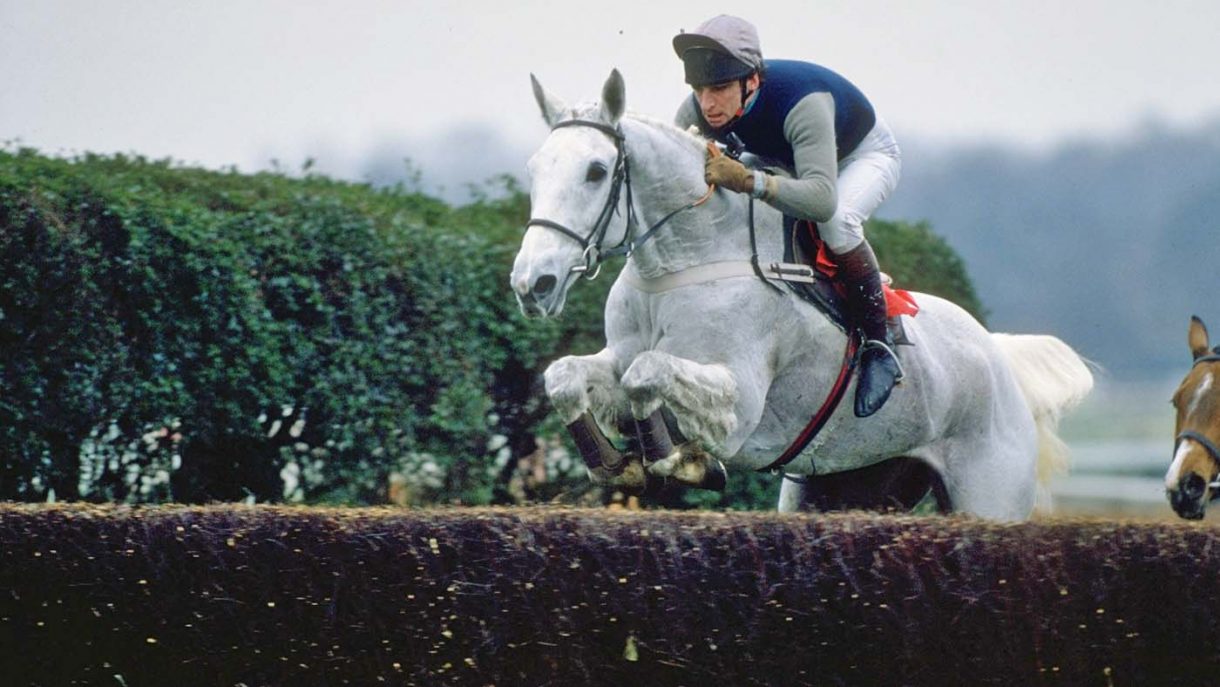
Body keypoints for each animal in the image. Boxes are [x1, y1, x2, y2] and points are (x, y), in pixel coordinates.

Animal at [511, 69, 1094, 520]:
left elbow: (647, 373)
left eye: (596, 171)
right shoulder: (616, 356)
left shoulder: (739, 400)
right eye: (535, 169)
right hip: (838, 486)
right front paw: (617, 464)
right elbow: (568, 375)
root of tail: (1000, 360)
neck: (685, 260)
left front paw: (684, 462)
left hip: (988, 496)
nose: (533, 284)